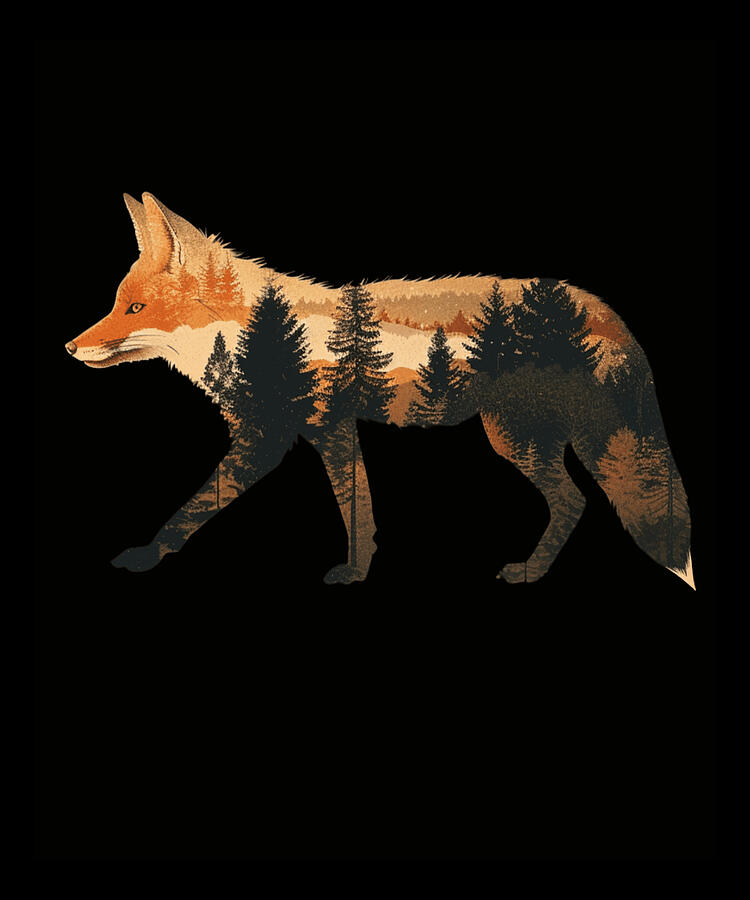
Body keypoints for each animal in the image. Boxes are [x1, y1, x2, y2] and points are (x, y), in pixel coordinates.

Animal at [66, 193, 694, 588]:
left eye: (134, 309)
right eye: (117, 305)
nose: (70, 348)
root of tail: (597, 307)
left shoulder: (306, 433)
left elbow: (340, 509)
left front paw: (353, 573)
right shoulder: (284, 436)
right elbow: (209, 508)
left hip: (519, 440)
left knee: (576, 500)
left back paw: (529, 572)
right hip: (528, 439)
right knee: (576, 502)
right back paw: (533, 571)